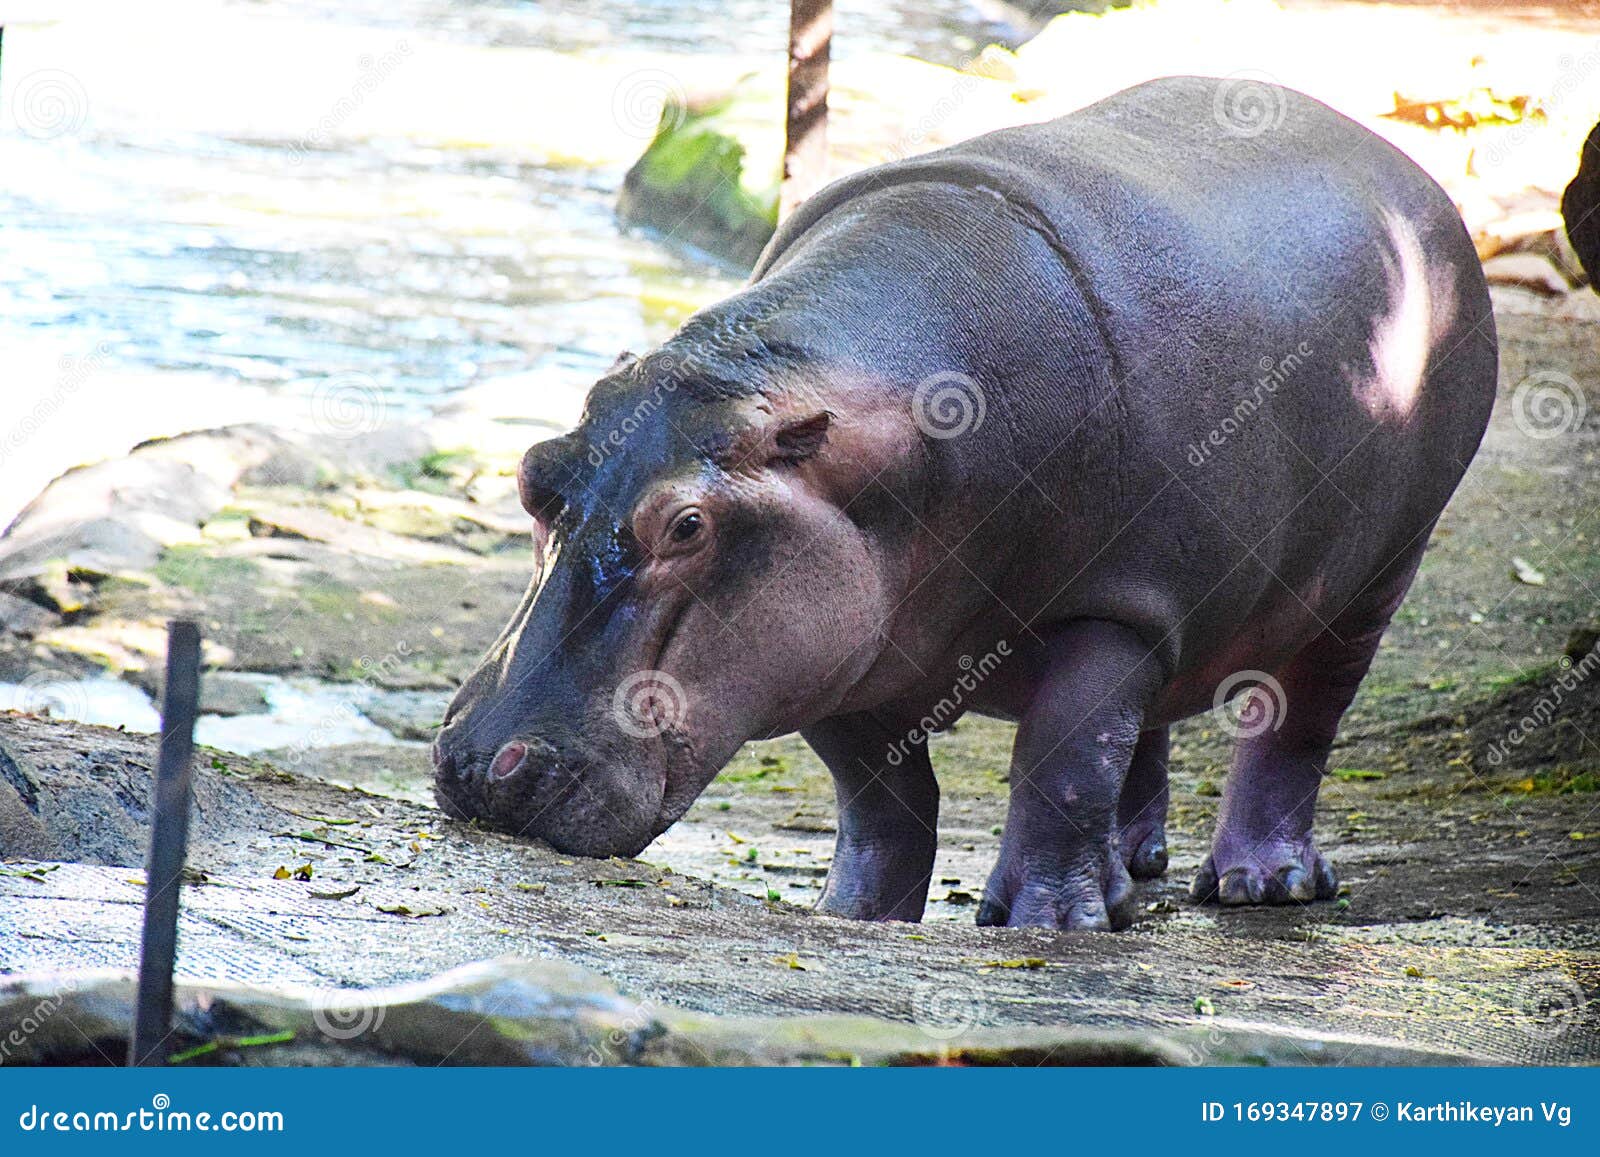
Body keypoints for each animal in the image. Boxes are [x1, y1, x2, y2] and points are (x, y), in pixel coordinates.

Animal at [433, 76, 1497, 930]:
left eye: (688, 524)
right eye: (534, 472)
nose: (478, 766)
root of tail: (1399, 163)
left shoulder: (1112, 605)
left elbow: (1060, 758)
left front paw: (1045, 925)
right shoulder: (840, 639)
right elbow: (880, 794)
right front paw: (854, 914)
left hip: (1377, 569)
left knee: (1300, 717)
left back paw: (1260, 885)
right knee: (1148, 727)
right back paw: (1134, 869)